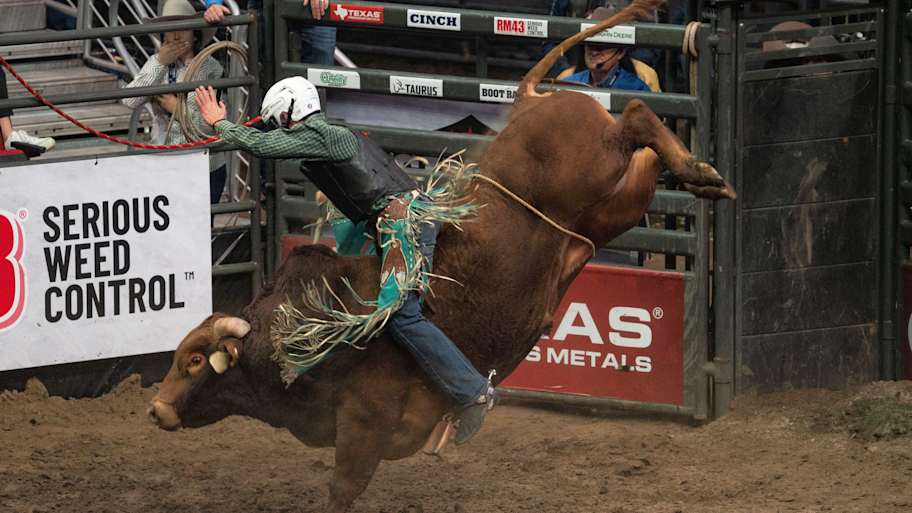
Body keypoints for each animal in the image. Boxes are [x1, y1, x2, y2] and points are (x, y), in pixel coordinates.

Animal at [147, 1, 734, 511]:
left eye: (194, 361)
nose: (155, 409)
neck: (295, 329)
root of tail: (531, 100)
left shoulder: (364, 425)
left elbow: (342, 489)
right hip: (612, 205)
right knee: (644, 150)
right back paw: (703, 179)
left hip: (599, 170)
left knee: (635, 113)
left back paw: (703, 173)